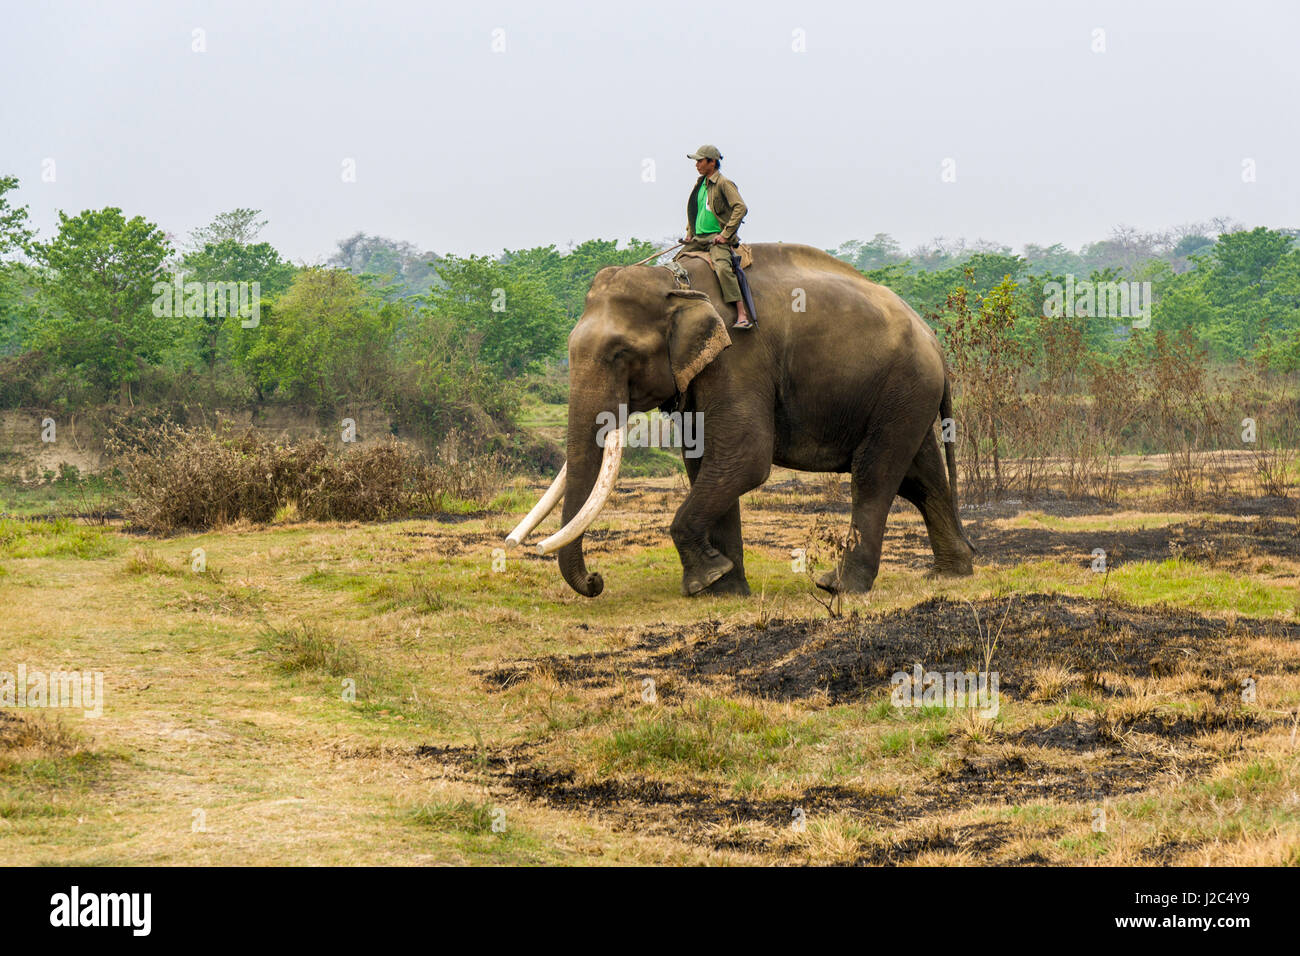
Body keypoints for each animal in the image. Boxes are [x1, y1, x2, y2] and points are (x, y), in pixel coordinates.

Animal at [506, 242, 977, 598]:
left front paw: (707, 580)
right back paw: (952, 573)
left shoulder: (738, 358)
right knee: (922, 478)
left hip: (904, 386)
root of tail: (935, 341)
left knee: (875, 476)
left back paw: (839, 586)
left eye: (621, 354)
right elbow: (706, 462)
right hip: (906, 395)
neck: (672, 281)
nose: (597, 580)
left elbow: (744, 456)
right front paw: (725, 589)